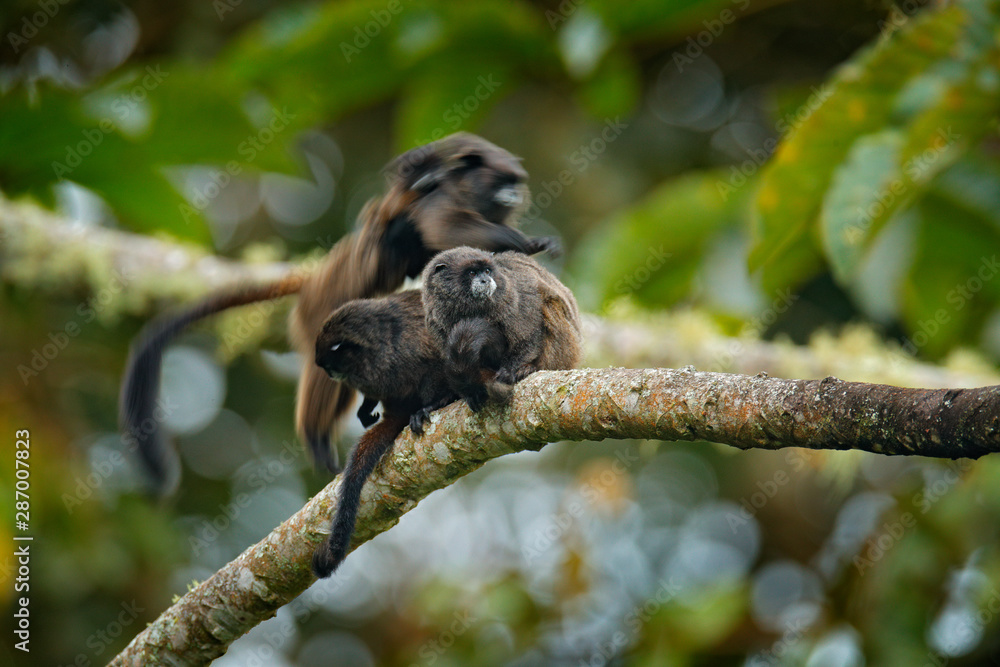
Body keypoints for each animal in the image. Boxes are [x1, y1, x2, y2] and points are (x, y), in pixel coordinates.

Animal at [119, 133, 559, 495]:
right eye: (502, 181)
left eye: (514, 183)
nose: (512, 195)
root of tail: (318, 279)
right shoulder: (446, 196)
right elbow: (443, 226)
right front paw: (527, 241)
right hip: (324, 308)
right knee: (329, 361)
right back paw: (315, 436)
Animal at [310, 290, 455, 578]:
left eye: (332, 358)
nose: (327, 371)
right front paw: (365, 411)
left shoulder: (409, 346)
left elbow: (438, 363)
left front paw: (435, 403)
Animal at [421, 247, 583, 412]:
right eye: (472, 273)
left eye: (487, 271)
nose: (485, 280)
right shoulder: (435, 320)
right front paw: (471, 393)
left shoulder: (511, 296)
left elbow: (529, 334)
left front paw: (510, 371)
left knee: (550, 303)